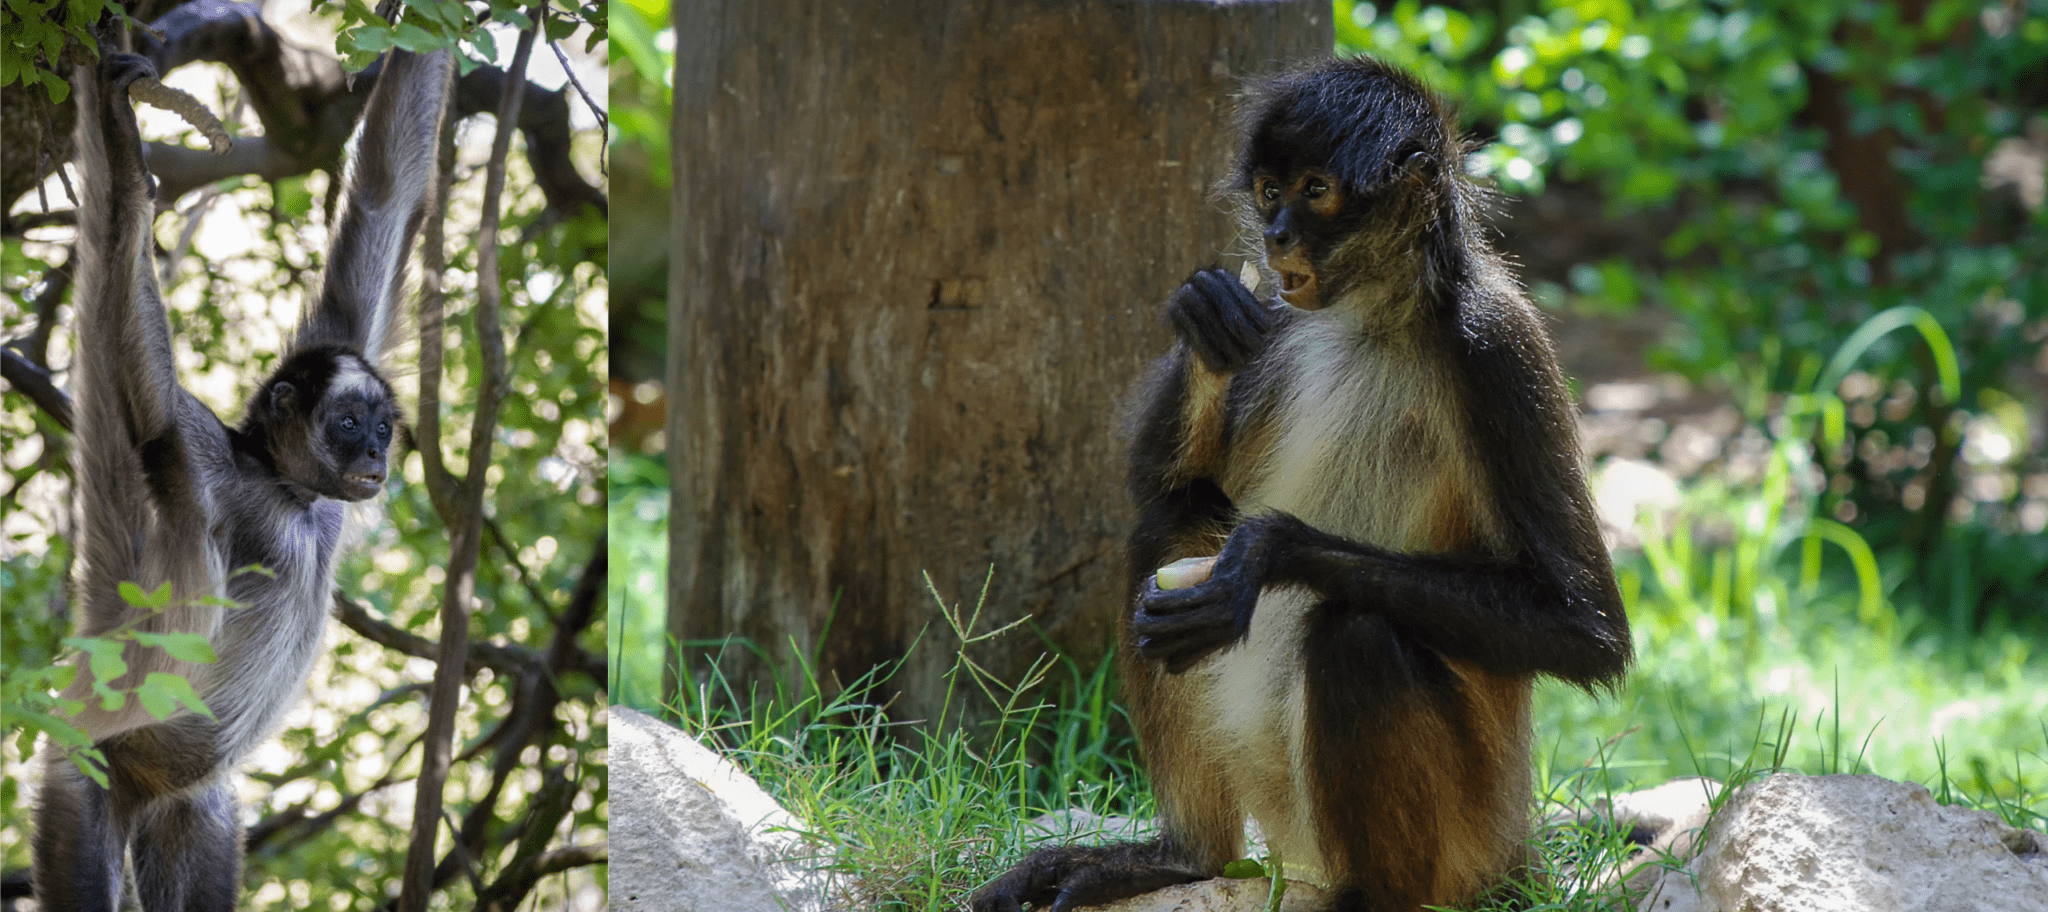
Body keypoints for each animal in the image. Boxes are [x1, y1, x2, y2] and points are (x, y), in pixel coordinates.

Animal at [31, 41, 451, 912]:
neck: (290, 494)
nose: (375, 458)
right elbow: (153, 413)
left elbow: (387, 193)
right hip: (81, 761)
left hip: (190, 804)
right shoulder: (209, 462)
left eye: (382, 426)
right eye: (348, 423)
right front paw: (126, 158)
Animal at [971, 57, 1631, 912]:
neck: (1369, 317)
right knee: (1165, 521)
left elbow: (1586, 630)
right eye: (1267, 192)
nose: (1276, 236)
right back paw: (1181, 856)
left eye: (1316, 190)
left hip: (1466, 841)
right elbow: (1154, 483)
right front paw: (1206, 317)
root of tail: (1514, 854)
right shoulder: (1283, 312)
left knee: (1355, 636)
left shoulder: (1492, 341)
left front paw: (1266, 554)